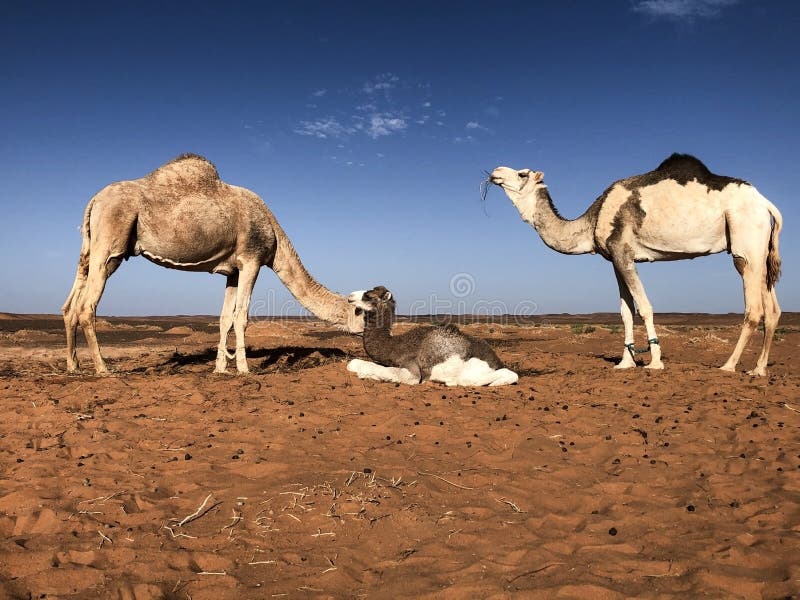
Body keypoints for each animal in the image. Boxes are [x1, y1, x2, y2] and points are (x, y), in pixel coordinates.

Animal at [62, 153, 364, 375]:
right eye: (364, 312)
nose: (364, 336)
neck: (275, 237)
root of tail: (95, 199)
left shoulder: (232, 270)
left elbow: (223, 318)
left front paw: (220, 368)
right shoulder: (252, 260)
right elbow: (241, 316)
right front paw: (243, 368)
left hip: (91, 250)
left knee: (70, 305)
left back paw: (73, 365)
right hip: (111, 242)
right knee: (86, 305)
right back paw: (103, 368)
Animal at [488, 153, 782, 376]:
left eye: (522, 174)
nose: (495, 171)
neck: (593, 220)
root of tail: (767, 204)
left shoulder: (622, 250)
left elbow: (644, 307)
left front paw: (655, 362)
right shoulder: (615, 258)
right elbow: (625, 312)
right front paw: (625, 362)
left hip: (745, 243)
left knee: (754, 308)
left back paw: (728, 365)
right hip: (762, 252)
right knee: (772, 309)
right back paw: (758, 369)